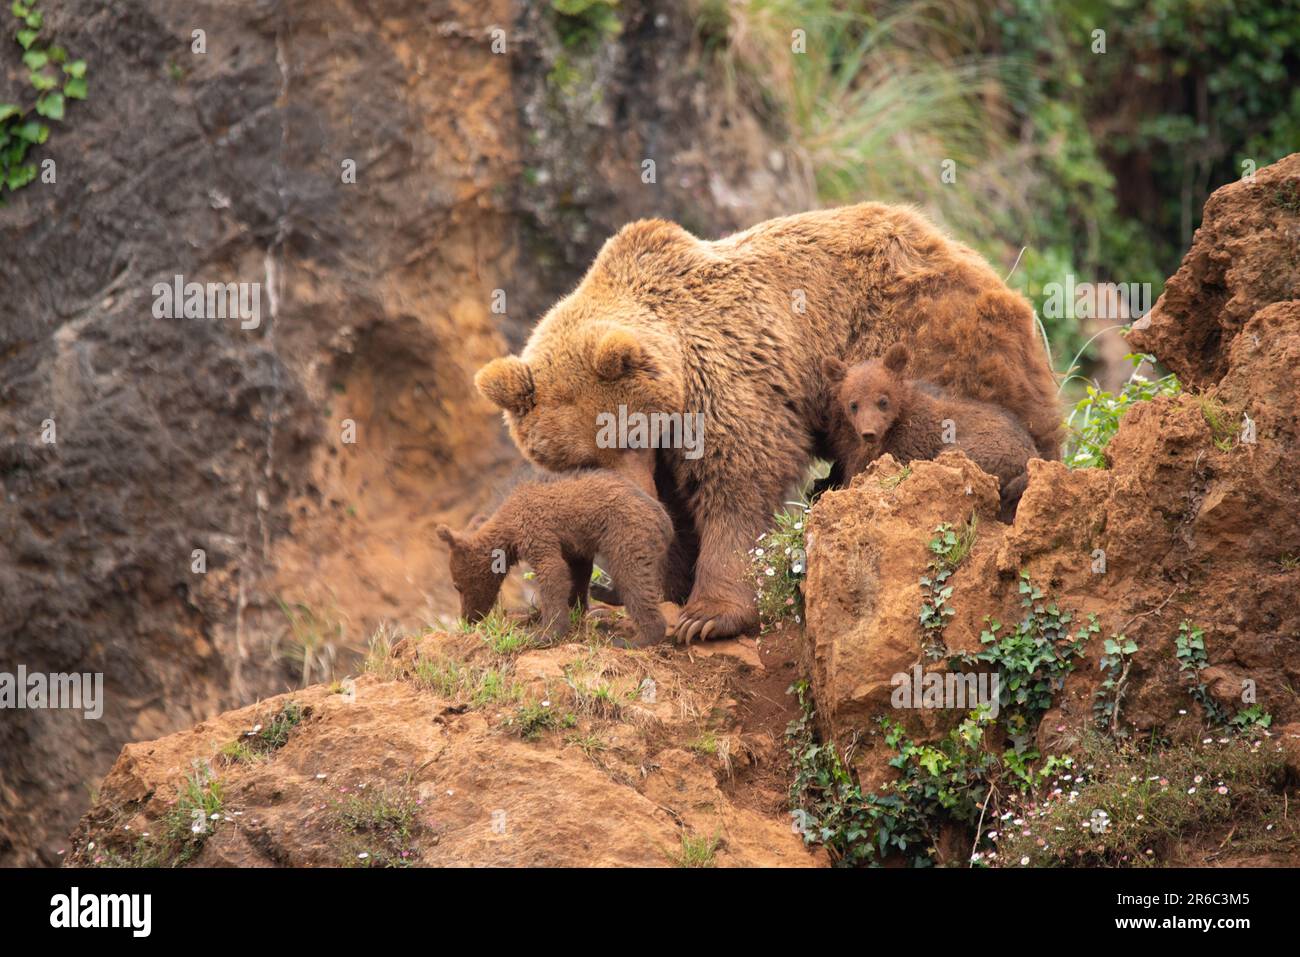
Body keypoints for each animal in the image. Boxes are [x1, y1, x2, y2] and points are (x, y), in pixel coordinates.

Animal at [435, 464, 672, 647]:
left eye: (457, 585)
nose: (468, 619)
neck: (508, 532)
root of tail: (665, 521)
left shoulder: (536, 530)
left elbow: (552, 572)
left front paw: (544, 632)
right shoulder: (574, 545)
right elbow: (576, 573)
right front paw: (571, 610)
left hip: (626, 532)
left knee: (632, 577)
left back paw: (635, 639)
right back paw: (602, 594)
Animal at [823, 344, 1036, 518]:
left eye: (883, 401)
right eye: (853, 404)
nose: (869, 432)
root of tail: (1031, 454)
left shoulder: (913, 438)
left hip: (981, 449)